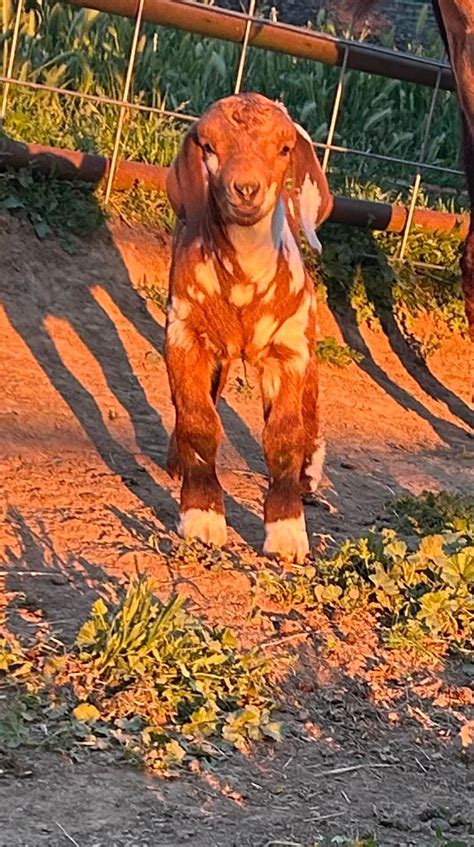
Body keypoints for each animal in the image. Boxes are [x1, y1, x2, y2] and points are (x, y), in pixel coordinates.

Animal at [164, 93, 332, 562]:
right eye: (208, 146)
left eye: (284, 148)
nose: (245, 189)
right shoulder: (185, 334)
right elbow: (198, 419)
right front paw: (201, 517)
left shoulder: (289, 350)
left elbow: (284, 437)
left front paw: (287, 533)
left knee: (311, 401)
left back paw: (310, 475)